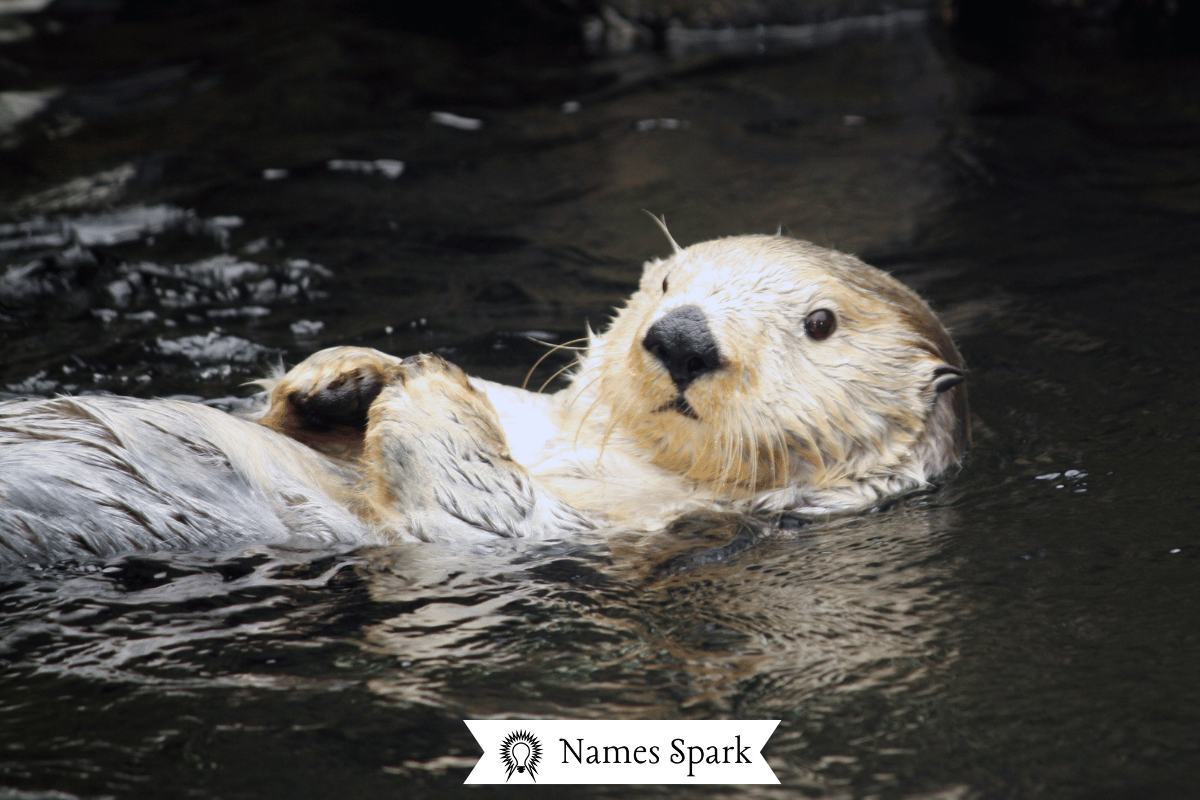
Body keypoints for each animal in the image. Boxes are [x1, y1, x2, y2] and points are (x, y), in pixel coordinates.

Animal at [0, 234, 967, 561]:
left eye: (820, 323)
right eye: (666, 283)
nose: (683, 335)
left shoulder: (586, 527)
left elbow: (473, 506)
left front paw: (426, 385)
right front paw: (344, 370)